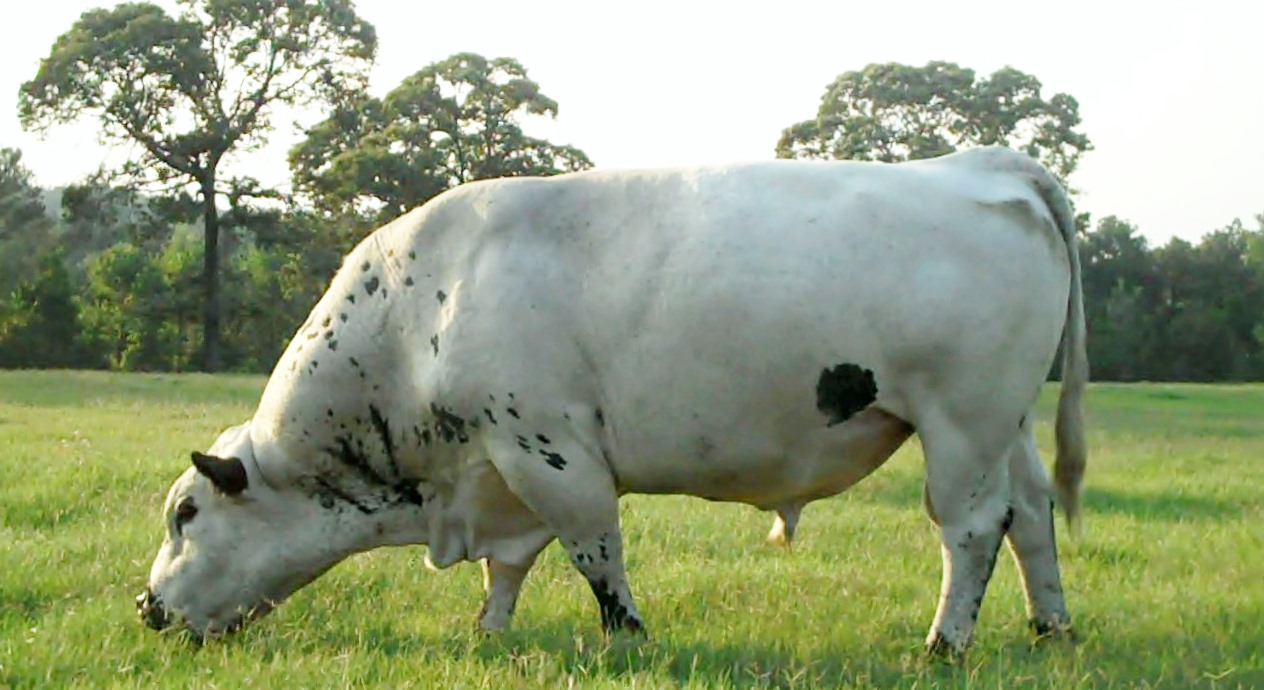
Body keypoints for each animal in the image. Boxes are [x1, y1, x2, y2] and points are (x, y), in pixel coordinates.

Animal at [137, 145, 1087, 659]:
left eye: (186, 513)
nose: (147, 610)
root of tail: (982, 164)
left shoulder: (546, 447)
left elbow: (593, 549)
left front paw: (625, 634)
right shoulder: (498, 473)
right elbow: (508, 566)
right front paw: (488, 630)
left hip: (962, 423)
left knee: (972, 529)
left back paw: (945, 645)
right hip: (1005, 425)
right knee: (1034, 513)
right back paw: (1051, 628)